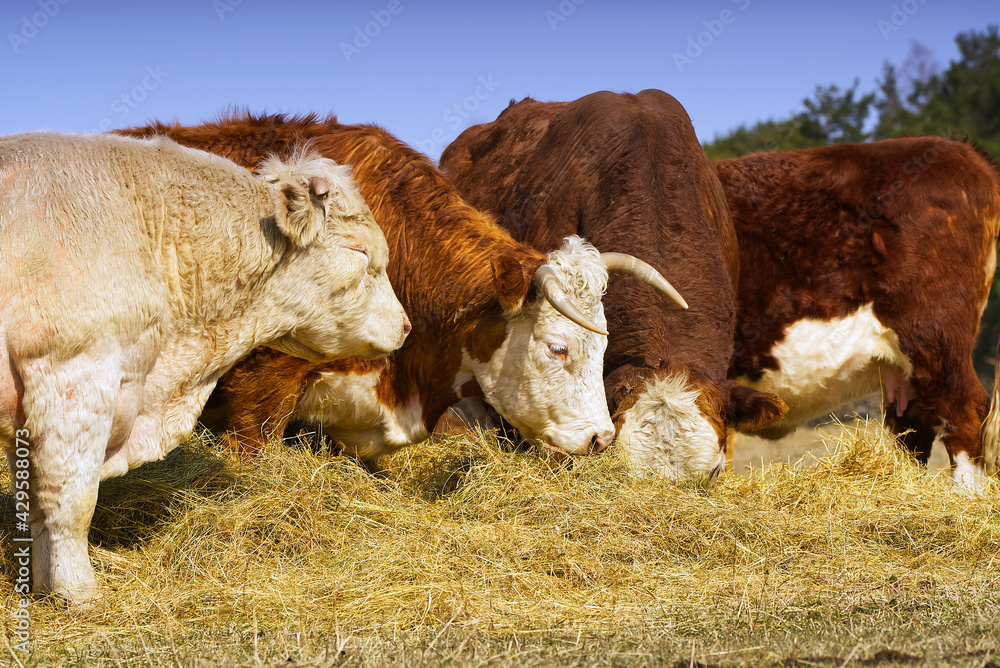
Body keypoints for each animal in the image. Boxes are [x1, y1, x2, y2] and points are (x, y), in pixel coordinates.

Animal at [0, 132, 408, 604]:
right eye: (359, 250)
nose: (406, 325)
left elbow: (33, 505)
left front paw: (44, 588)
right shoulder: (73, 376)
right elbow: (69, 503)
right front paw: (79, 594)